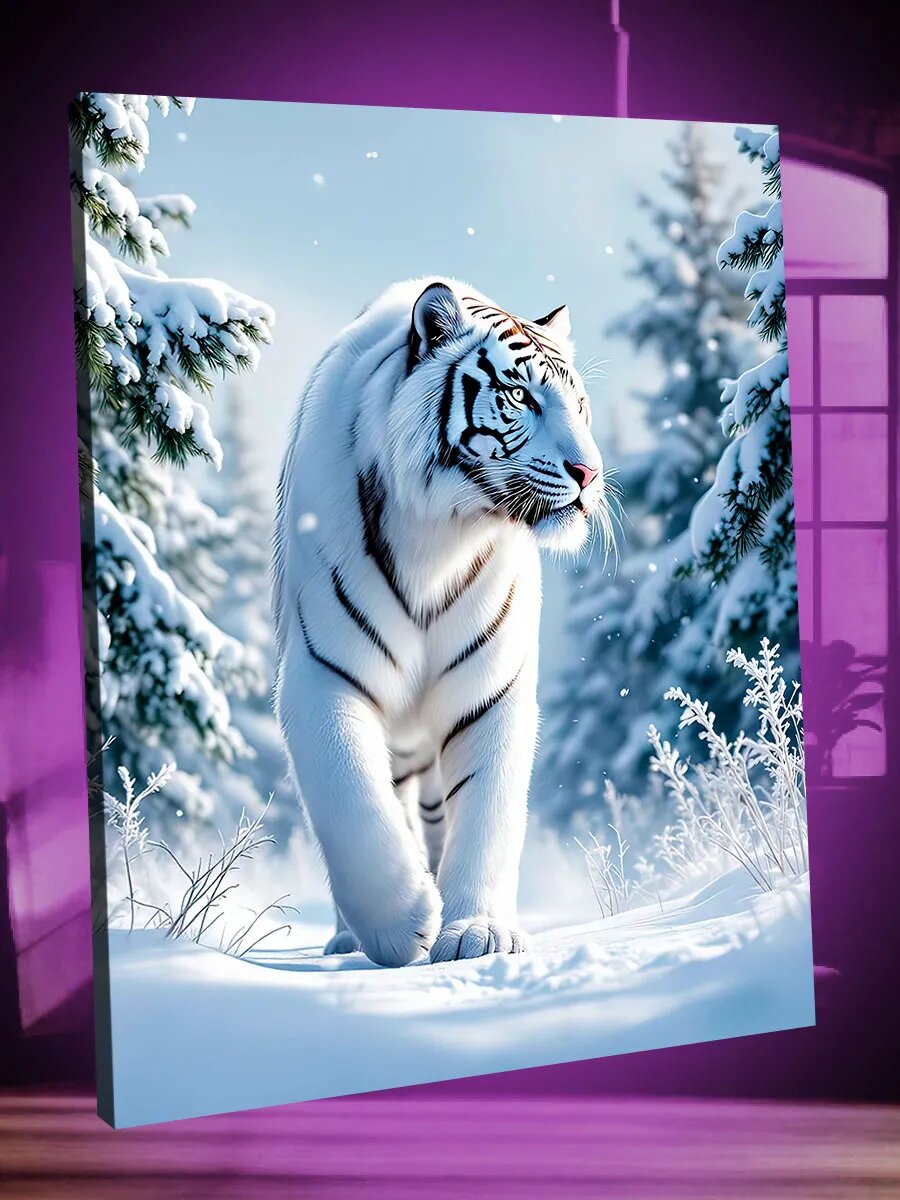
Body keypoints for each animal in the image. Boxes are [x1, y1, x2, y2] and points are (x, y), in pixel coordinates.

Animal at [273, 278, 610, 967]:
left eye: (580, 405)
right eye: (520, 396)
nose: (589, 474)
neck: (441, 536)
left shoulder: (492, 690)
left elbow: (487, 812)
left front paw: (476, 934)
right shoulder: (322, 676)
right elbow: (350, 801)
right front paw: (402, 925)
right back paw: (349, 937)